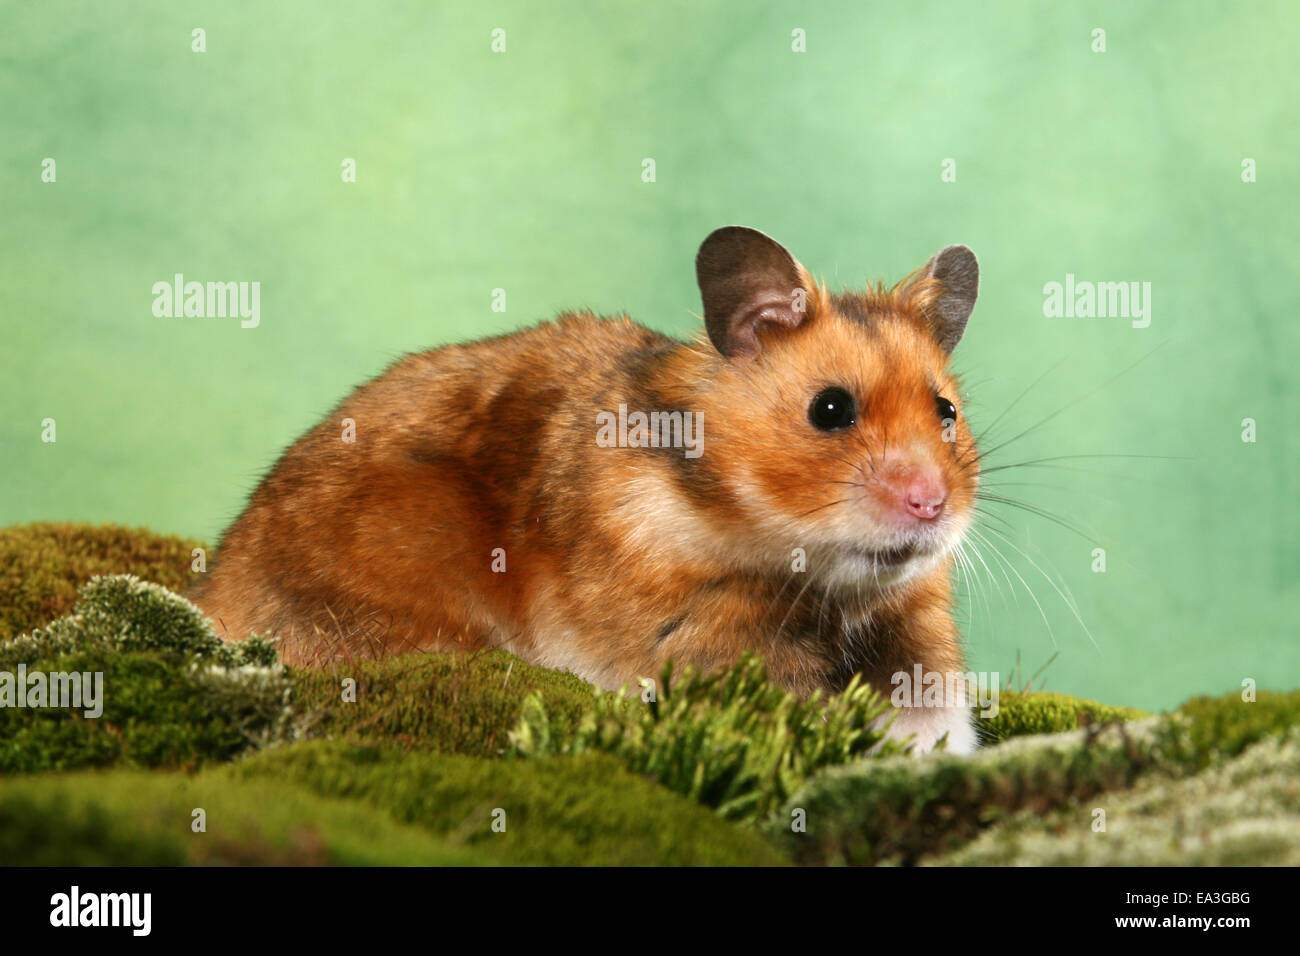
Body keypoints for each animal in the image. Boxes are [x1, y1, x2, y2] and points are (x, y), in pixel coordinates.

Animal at [188, 226, 983, 753]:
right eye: (830, 409)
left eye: (946, 411)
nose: (931, 506)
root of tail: (212, 595)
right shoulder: (707, 634)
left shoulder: (916, 630)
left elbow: (928, 709)